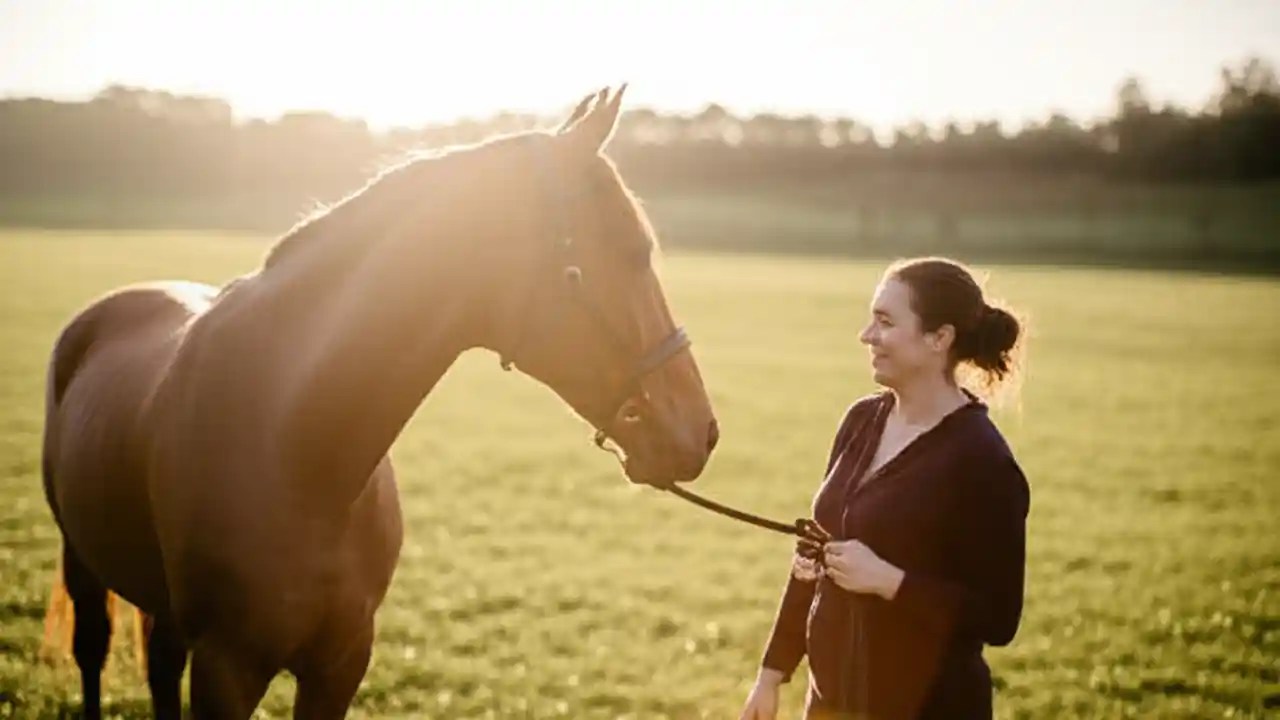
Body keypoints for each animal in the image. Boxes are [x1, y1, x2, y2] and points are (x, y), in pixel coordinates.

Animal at [39, 86, 719, 718]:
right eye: (633, 251)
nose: (702, 432)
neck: (296, 443)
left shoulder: (341, 664)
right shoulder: (226, 670)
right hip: (83, 565)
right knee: (93, 653)